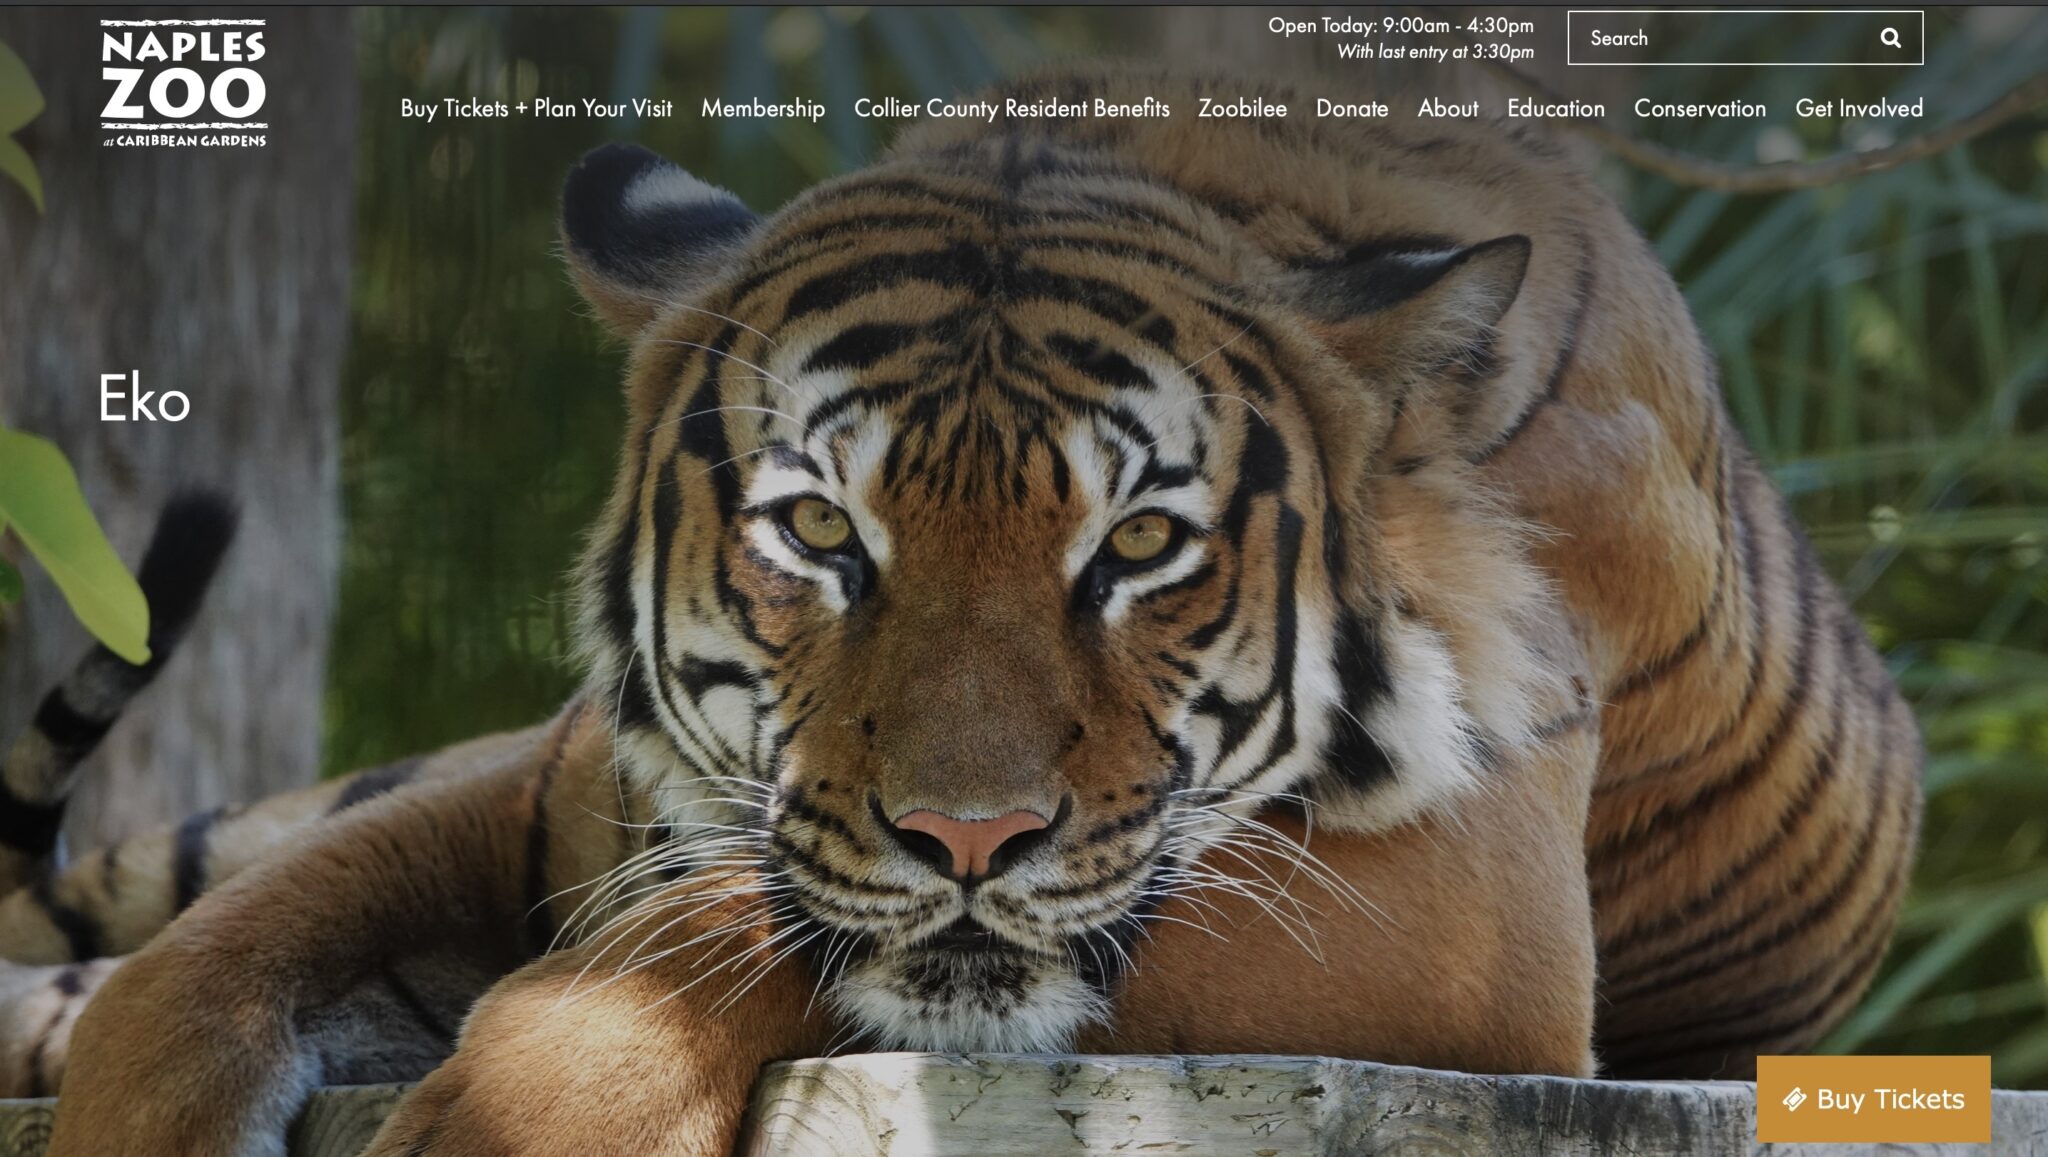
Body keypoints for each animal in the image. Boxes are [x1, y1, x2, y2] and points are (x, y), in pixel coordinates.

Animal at [2, 67, 1917, 1156]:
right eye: (816, 529)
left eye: (1138, 544)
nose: (971, 836)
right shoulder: (559, 792)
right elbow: (209, 957)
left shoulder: (1474, 919)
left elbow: (738, 924)